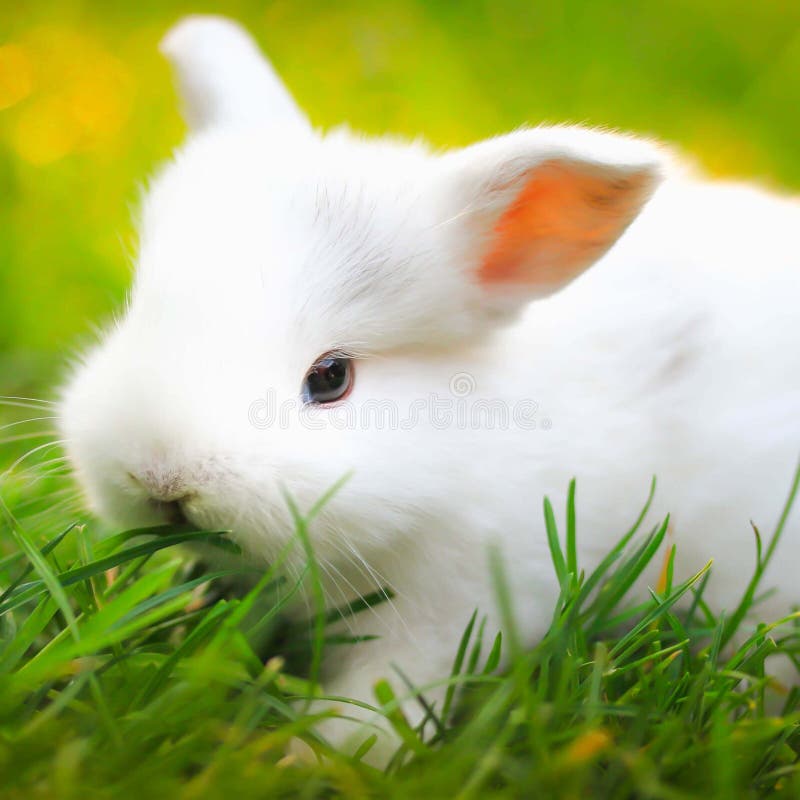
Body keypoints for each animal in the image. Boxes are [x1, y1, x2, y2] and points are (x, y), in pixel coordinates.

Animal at [58, 15, 800, 760]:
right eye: (135, 312)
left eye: (331, 377)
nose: (160, 477)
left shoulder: (453, 608)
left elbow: (385, 695)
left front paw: (312, 757)